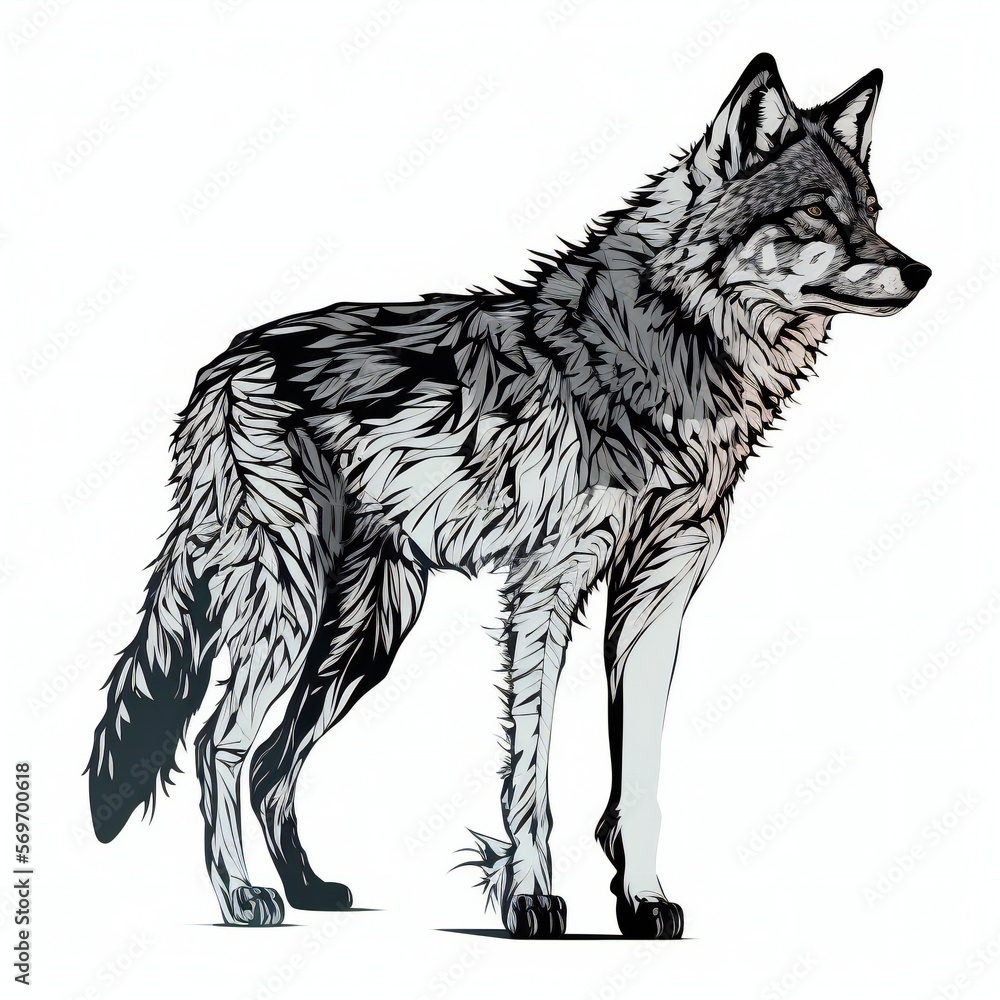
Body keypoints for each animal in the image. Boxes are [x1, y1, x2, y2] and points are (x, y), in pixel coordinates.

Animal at [88, 54, 929, 938]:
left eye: (872, 212)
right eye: (815, 212)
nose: (920, 271)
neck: (659, 354)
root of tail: (223, 361)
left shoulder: (657, 595)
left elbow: (638, 778)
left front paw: (642, 899)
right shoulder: (544, 590)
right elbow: (532, 772)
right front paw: (530, 897)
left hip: (363, 638)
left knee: (273, 761)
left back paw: (309, 886)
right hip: (288, 611)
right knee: (220, 744)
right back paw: (243, 896)